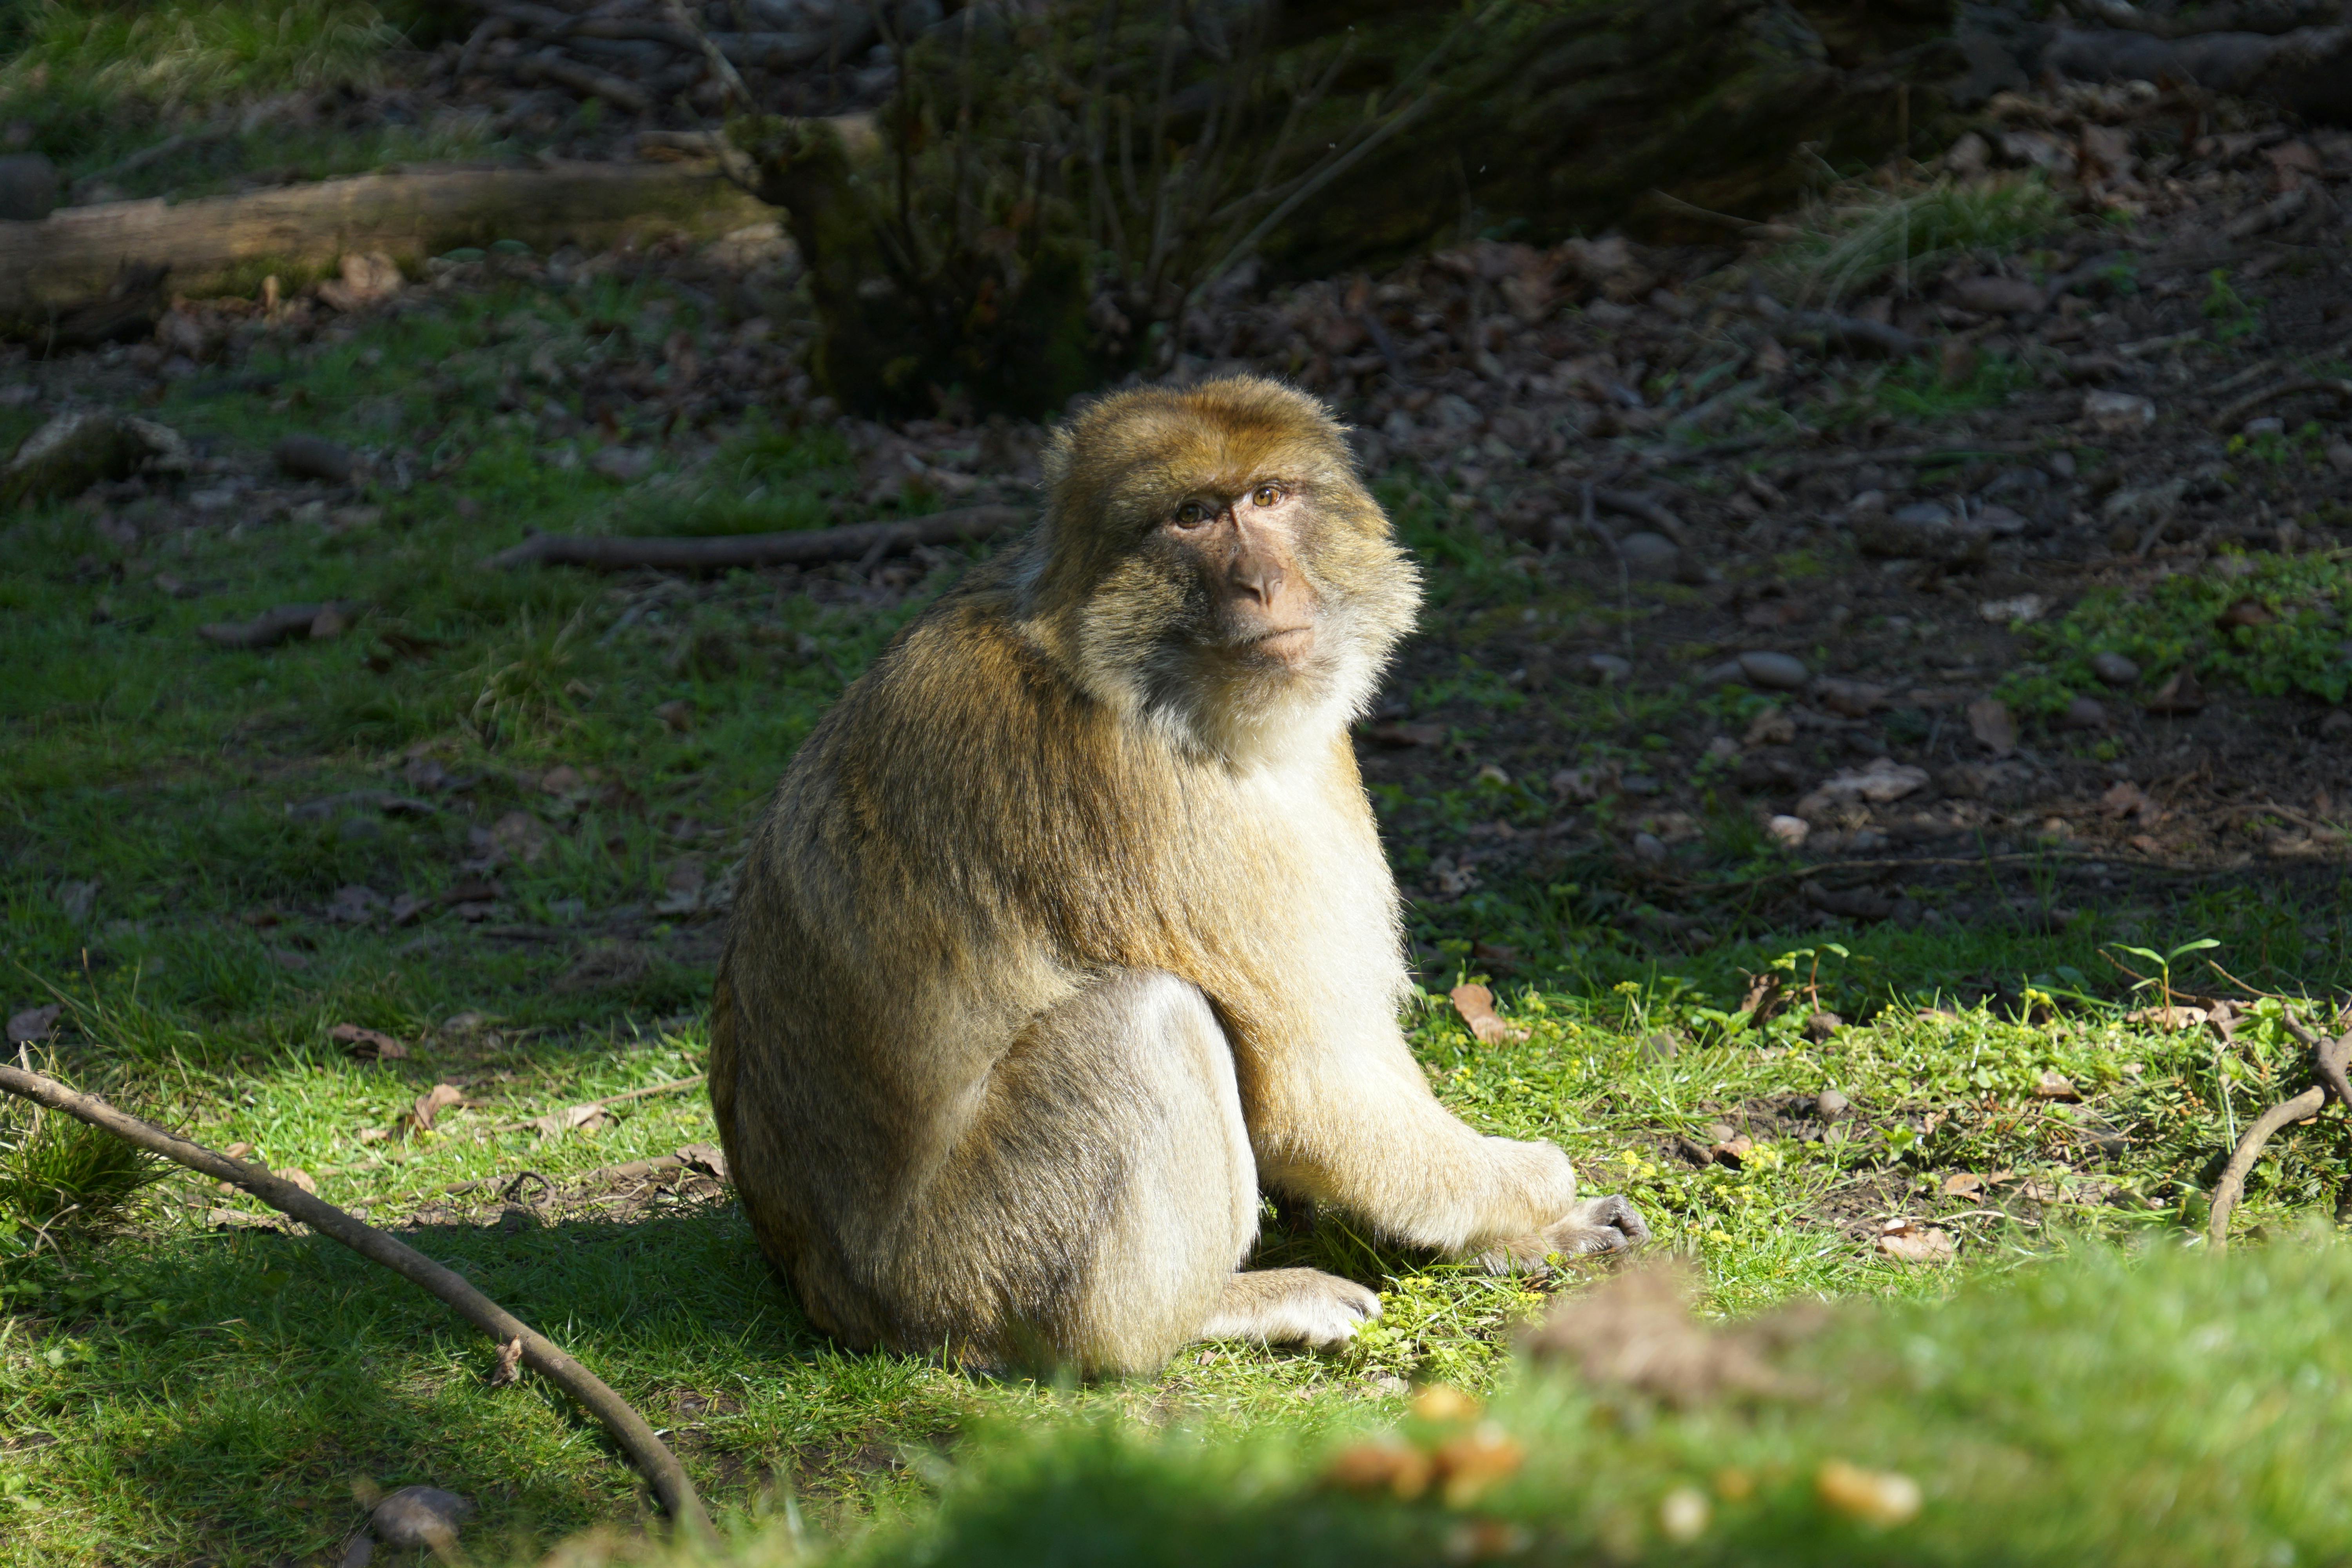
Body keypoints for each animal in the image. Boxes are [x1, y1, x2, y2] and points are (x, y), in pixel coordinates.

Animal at [708, 375, 1647, 1376]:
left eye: (1269, 497)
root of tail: (835, 1298)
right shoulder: (1152, 801)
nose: (1260, 581)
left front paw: (1531, 1230)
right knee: (1147, 1015)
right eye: (1193, 516)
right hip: (979, 1267)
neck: (1136, 675)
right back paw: (1190, 1315)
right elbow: (1316, 1089)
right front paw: (1534, 1189)